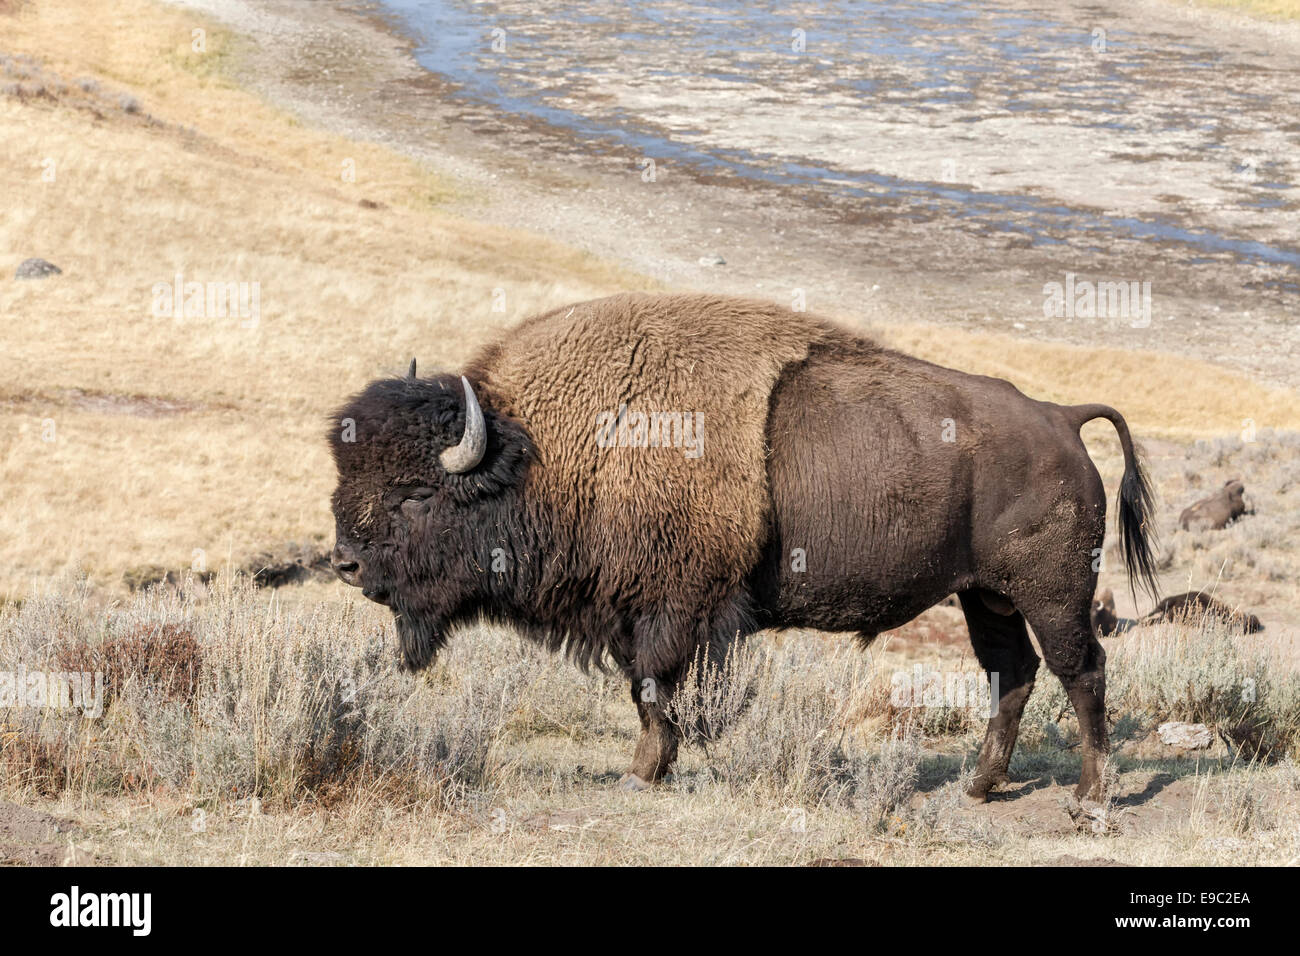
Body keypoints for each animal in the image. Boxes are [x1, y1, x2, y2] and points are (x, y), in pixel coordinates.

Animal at [328, 293, 1158, 802]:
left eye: (416, 493)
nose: (345, 562)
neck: (546, 453)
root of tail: (1059, 417)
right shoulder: (640, 614)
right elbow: (648, 691)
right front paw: (654, 765)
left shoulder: (674, 611)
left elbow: (654, 690)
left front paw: (643, 773)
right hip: (984, 596)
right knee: (1011, 674)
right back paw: (980, 787)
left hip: (1051, 594)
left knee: (1081, 670)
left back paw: (1088, 798)